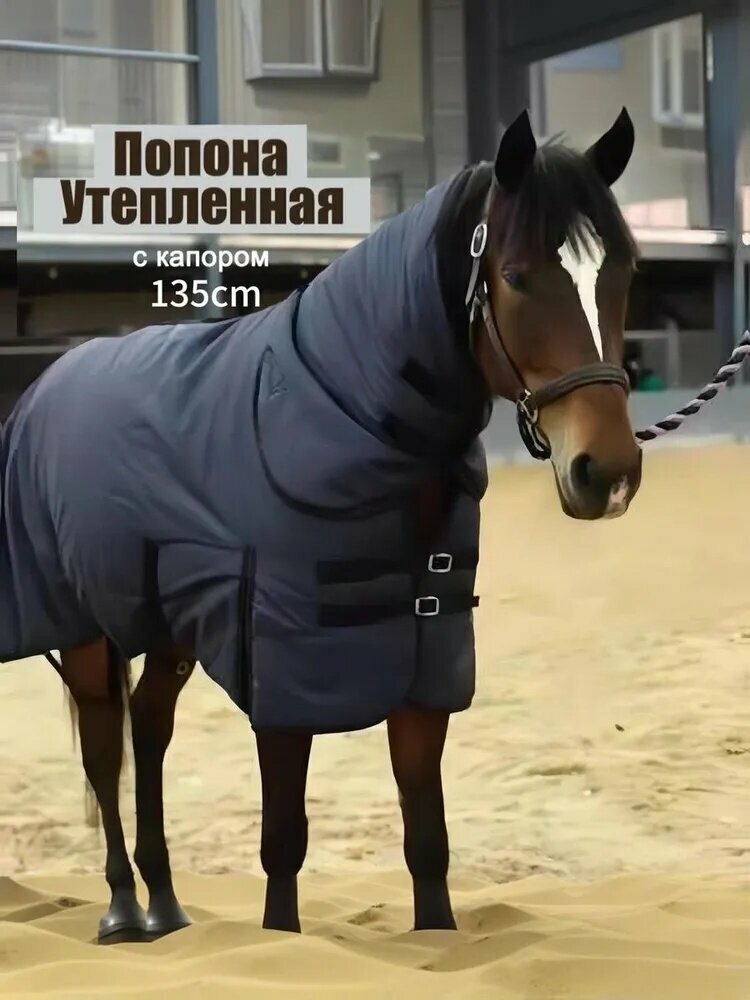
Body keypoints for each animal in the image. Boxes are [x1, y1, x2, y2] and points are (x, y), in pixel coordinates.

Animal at [0, 108, 642, 942]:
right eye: (518, 275)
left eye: (623, 271)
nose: (609, 471)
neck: (345, 414)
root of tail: (50, 380)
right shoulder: (285, 672)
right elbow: (283, 843)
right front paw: (276, 939)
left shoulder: (423, 664)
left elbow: (427, 839)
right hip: (82, 627)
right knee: (107, 751)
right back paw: (121, 910)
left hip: (170, 629)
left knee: (149, 731)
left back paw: (166, 905)